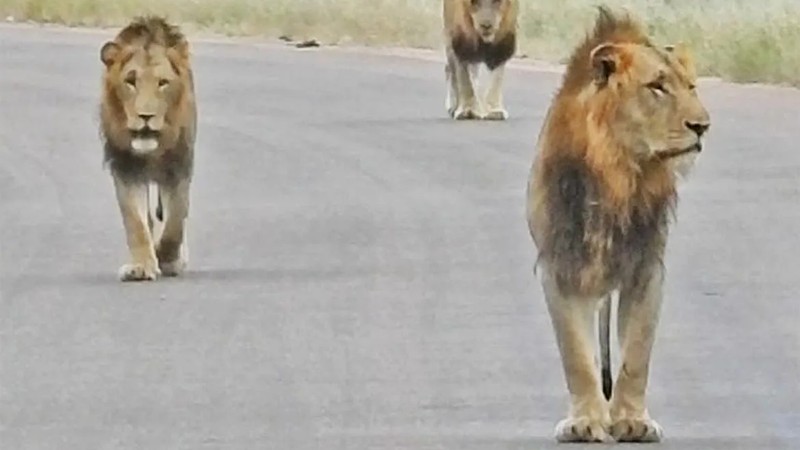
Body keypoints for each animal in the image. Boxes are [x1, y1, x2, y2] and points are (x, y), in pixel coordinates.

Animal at [98, 16, 198, 282]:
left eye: (163, 83)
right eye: (130, 82)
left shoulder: (178, 168)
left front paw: (169, 259)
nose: (145, 116)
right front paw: (142, 266)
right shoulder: (127, 170)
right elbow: (136, 223)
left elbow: (176, 221)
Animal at [525, 6, 710, 443]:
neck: (620, 169)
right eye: (657, 87)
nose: (702, 126)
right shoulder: (560, 265)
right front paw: (585, 421)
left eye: (691, 86)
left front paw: (631, 420)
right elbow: (576, 355)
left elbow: (636, 355)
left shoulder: (647, 268)